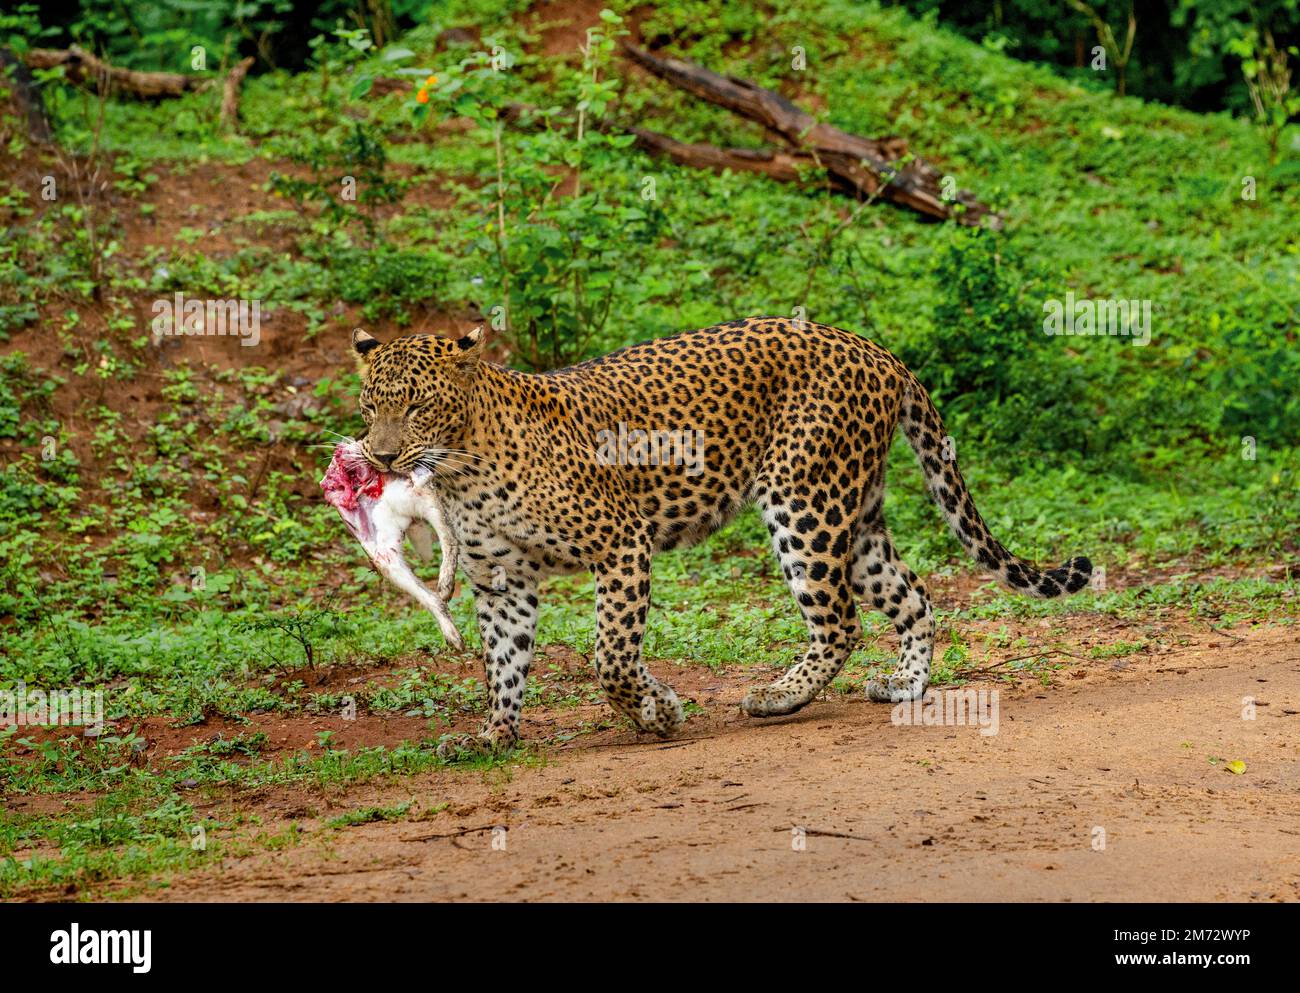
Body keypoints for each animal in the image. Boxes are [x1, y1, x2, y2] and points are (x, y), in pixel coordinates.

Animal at [349, 318, 1091, 758]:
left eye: (416, 404)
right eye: (370, 405)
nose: (380, 456)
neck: (461, 465)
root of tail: (876, 349)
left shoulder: (622, 543)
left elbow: (610, 656)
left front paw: (657, 713)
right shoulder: (503, 579)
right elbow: (503, 663)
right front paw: (494, 734)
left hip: (803, 499)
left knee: (841, 620)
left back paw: (779, 695)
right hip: (856, 516)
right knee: (912, 596)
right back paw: (905, 685)